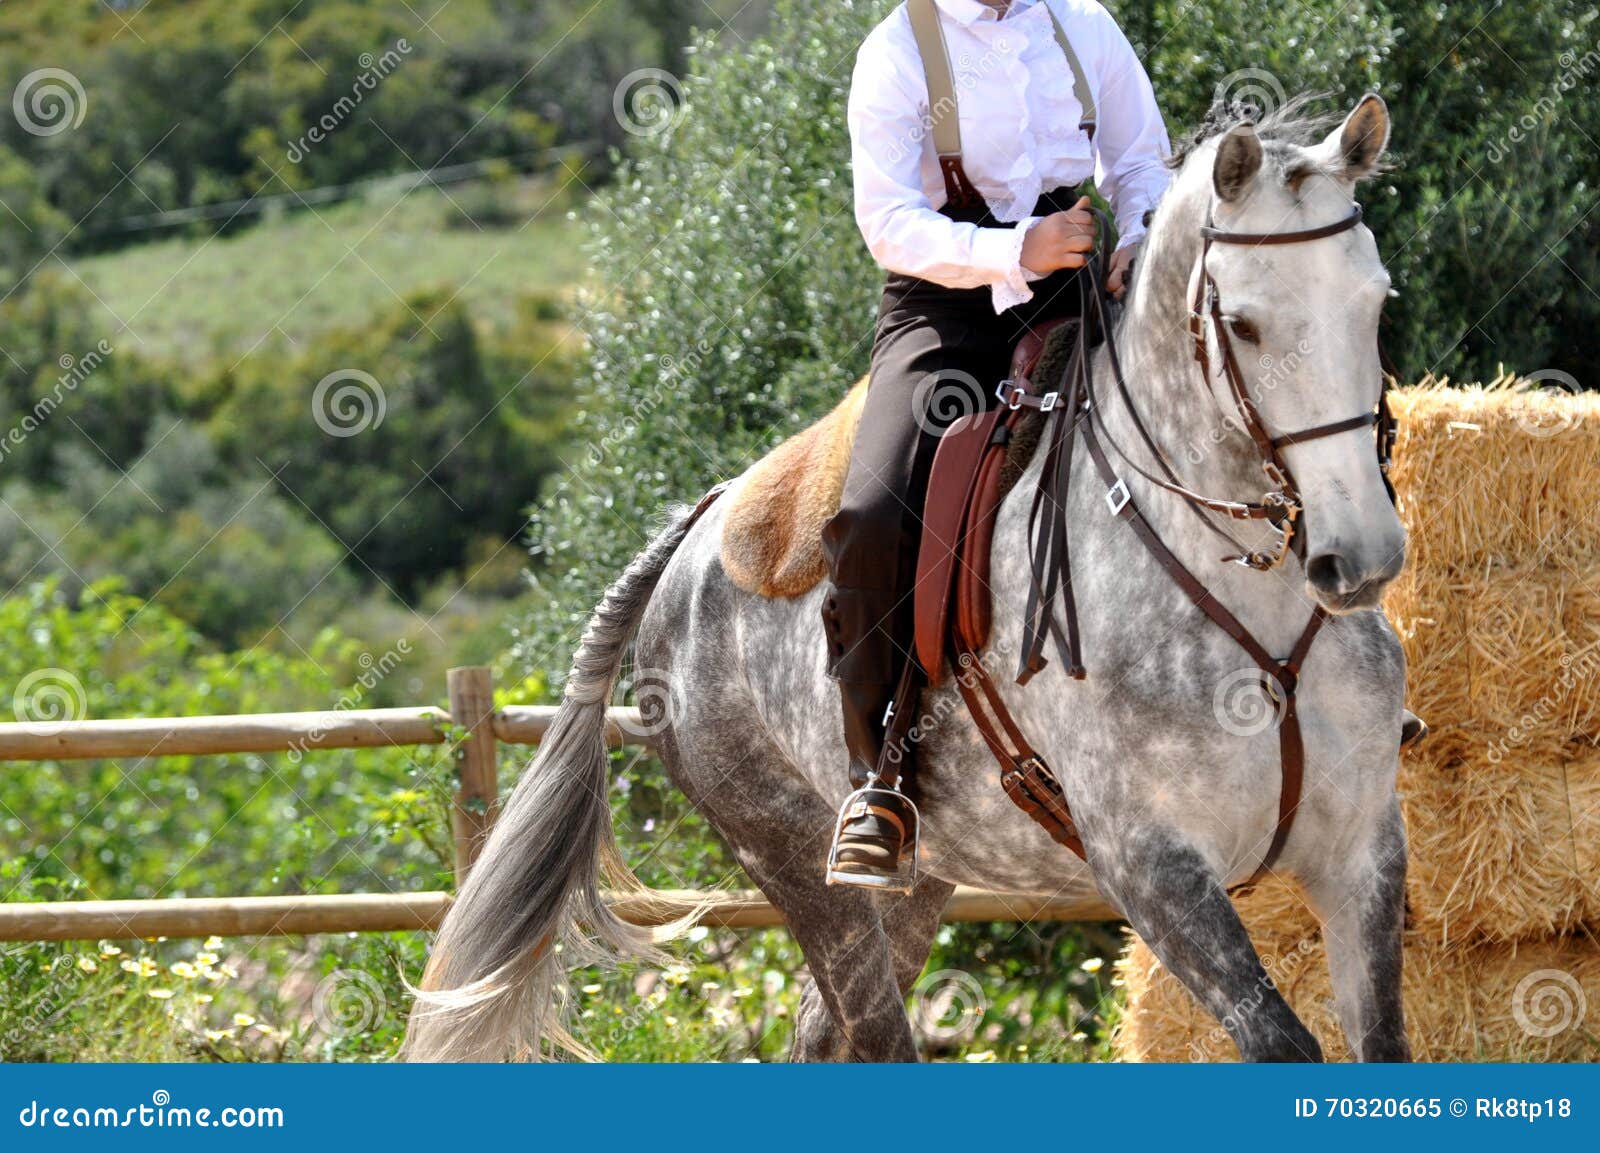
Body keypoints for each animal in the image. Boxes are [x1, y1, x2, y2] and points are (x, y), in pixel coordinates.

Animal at [401, 93, 1410, 1063]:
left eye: (1376, 303)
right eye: (1243, 324)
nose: (1360, 556)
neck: (1244, 598)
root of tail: (699, 528)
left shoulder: (1363, 851)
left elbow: (1382, 1040)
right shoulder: (1156, 867)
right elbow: (1284, 1044)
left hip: (920, 879)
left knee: (824, 1032)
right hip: (795, 858)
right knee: (873, 1029)